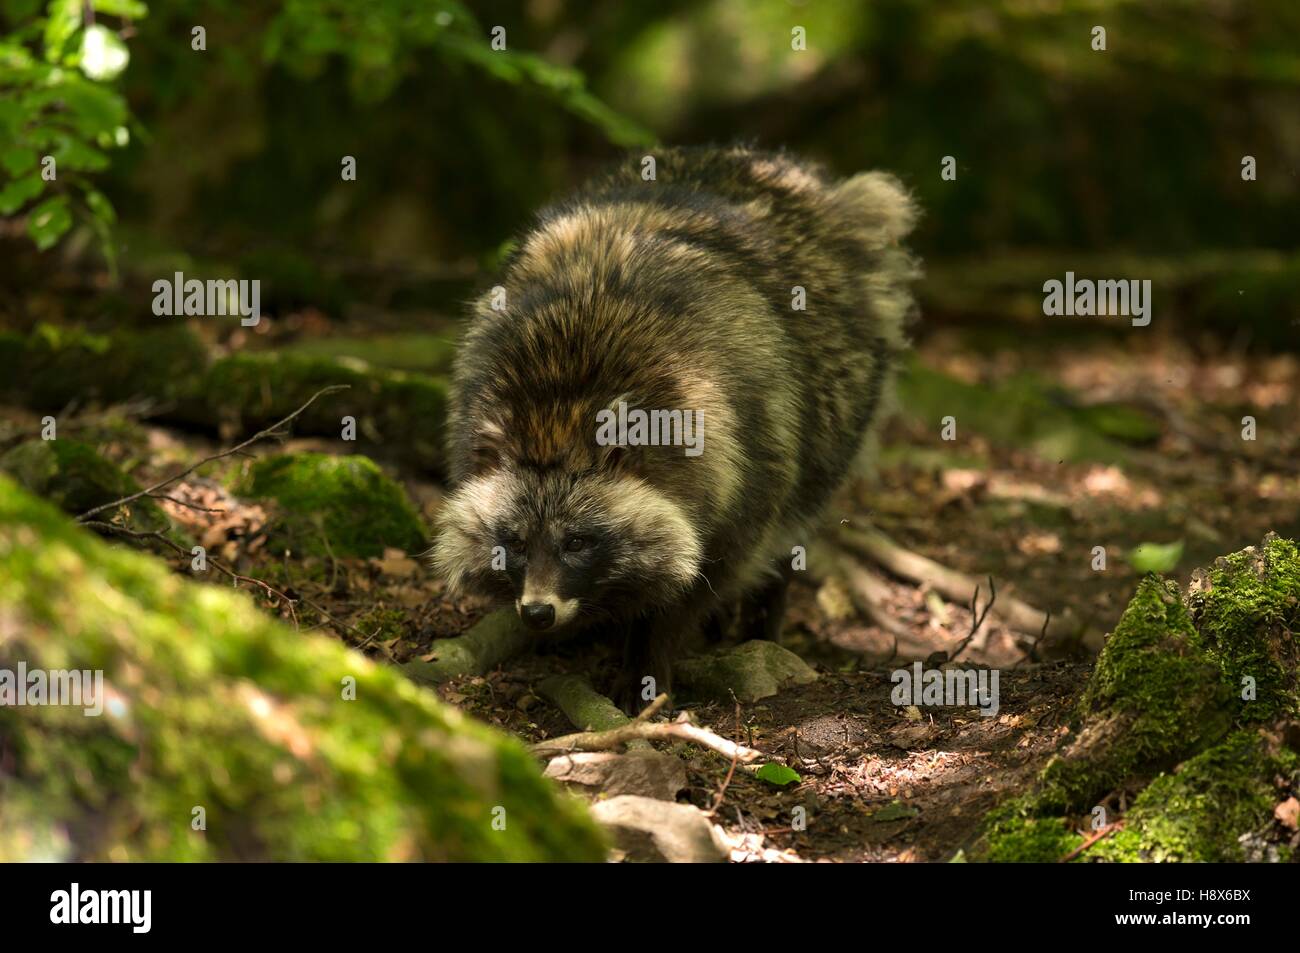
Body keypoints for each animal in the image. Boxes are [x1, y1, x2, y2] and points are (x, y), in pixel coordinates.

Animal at [432, 145, 920, 710]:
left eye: (577, 541)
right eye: (513, 541)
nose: (537, 612)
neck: (561, 405)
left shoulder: (743, 456)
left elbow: (704, 576)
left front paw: (648, 657)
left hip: (839, 408)